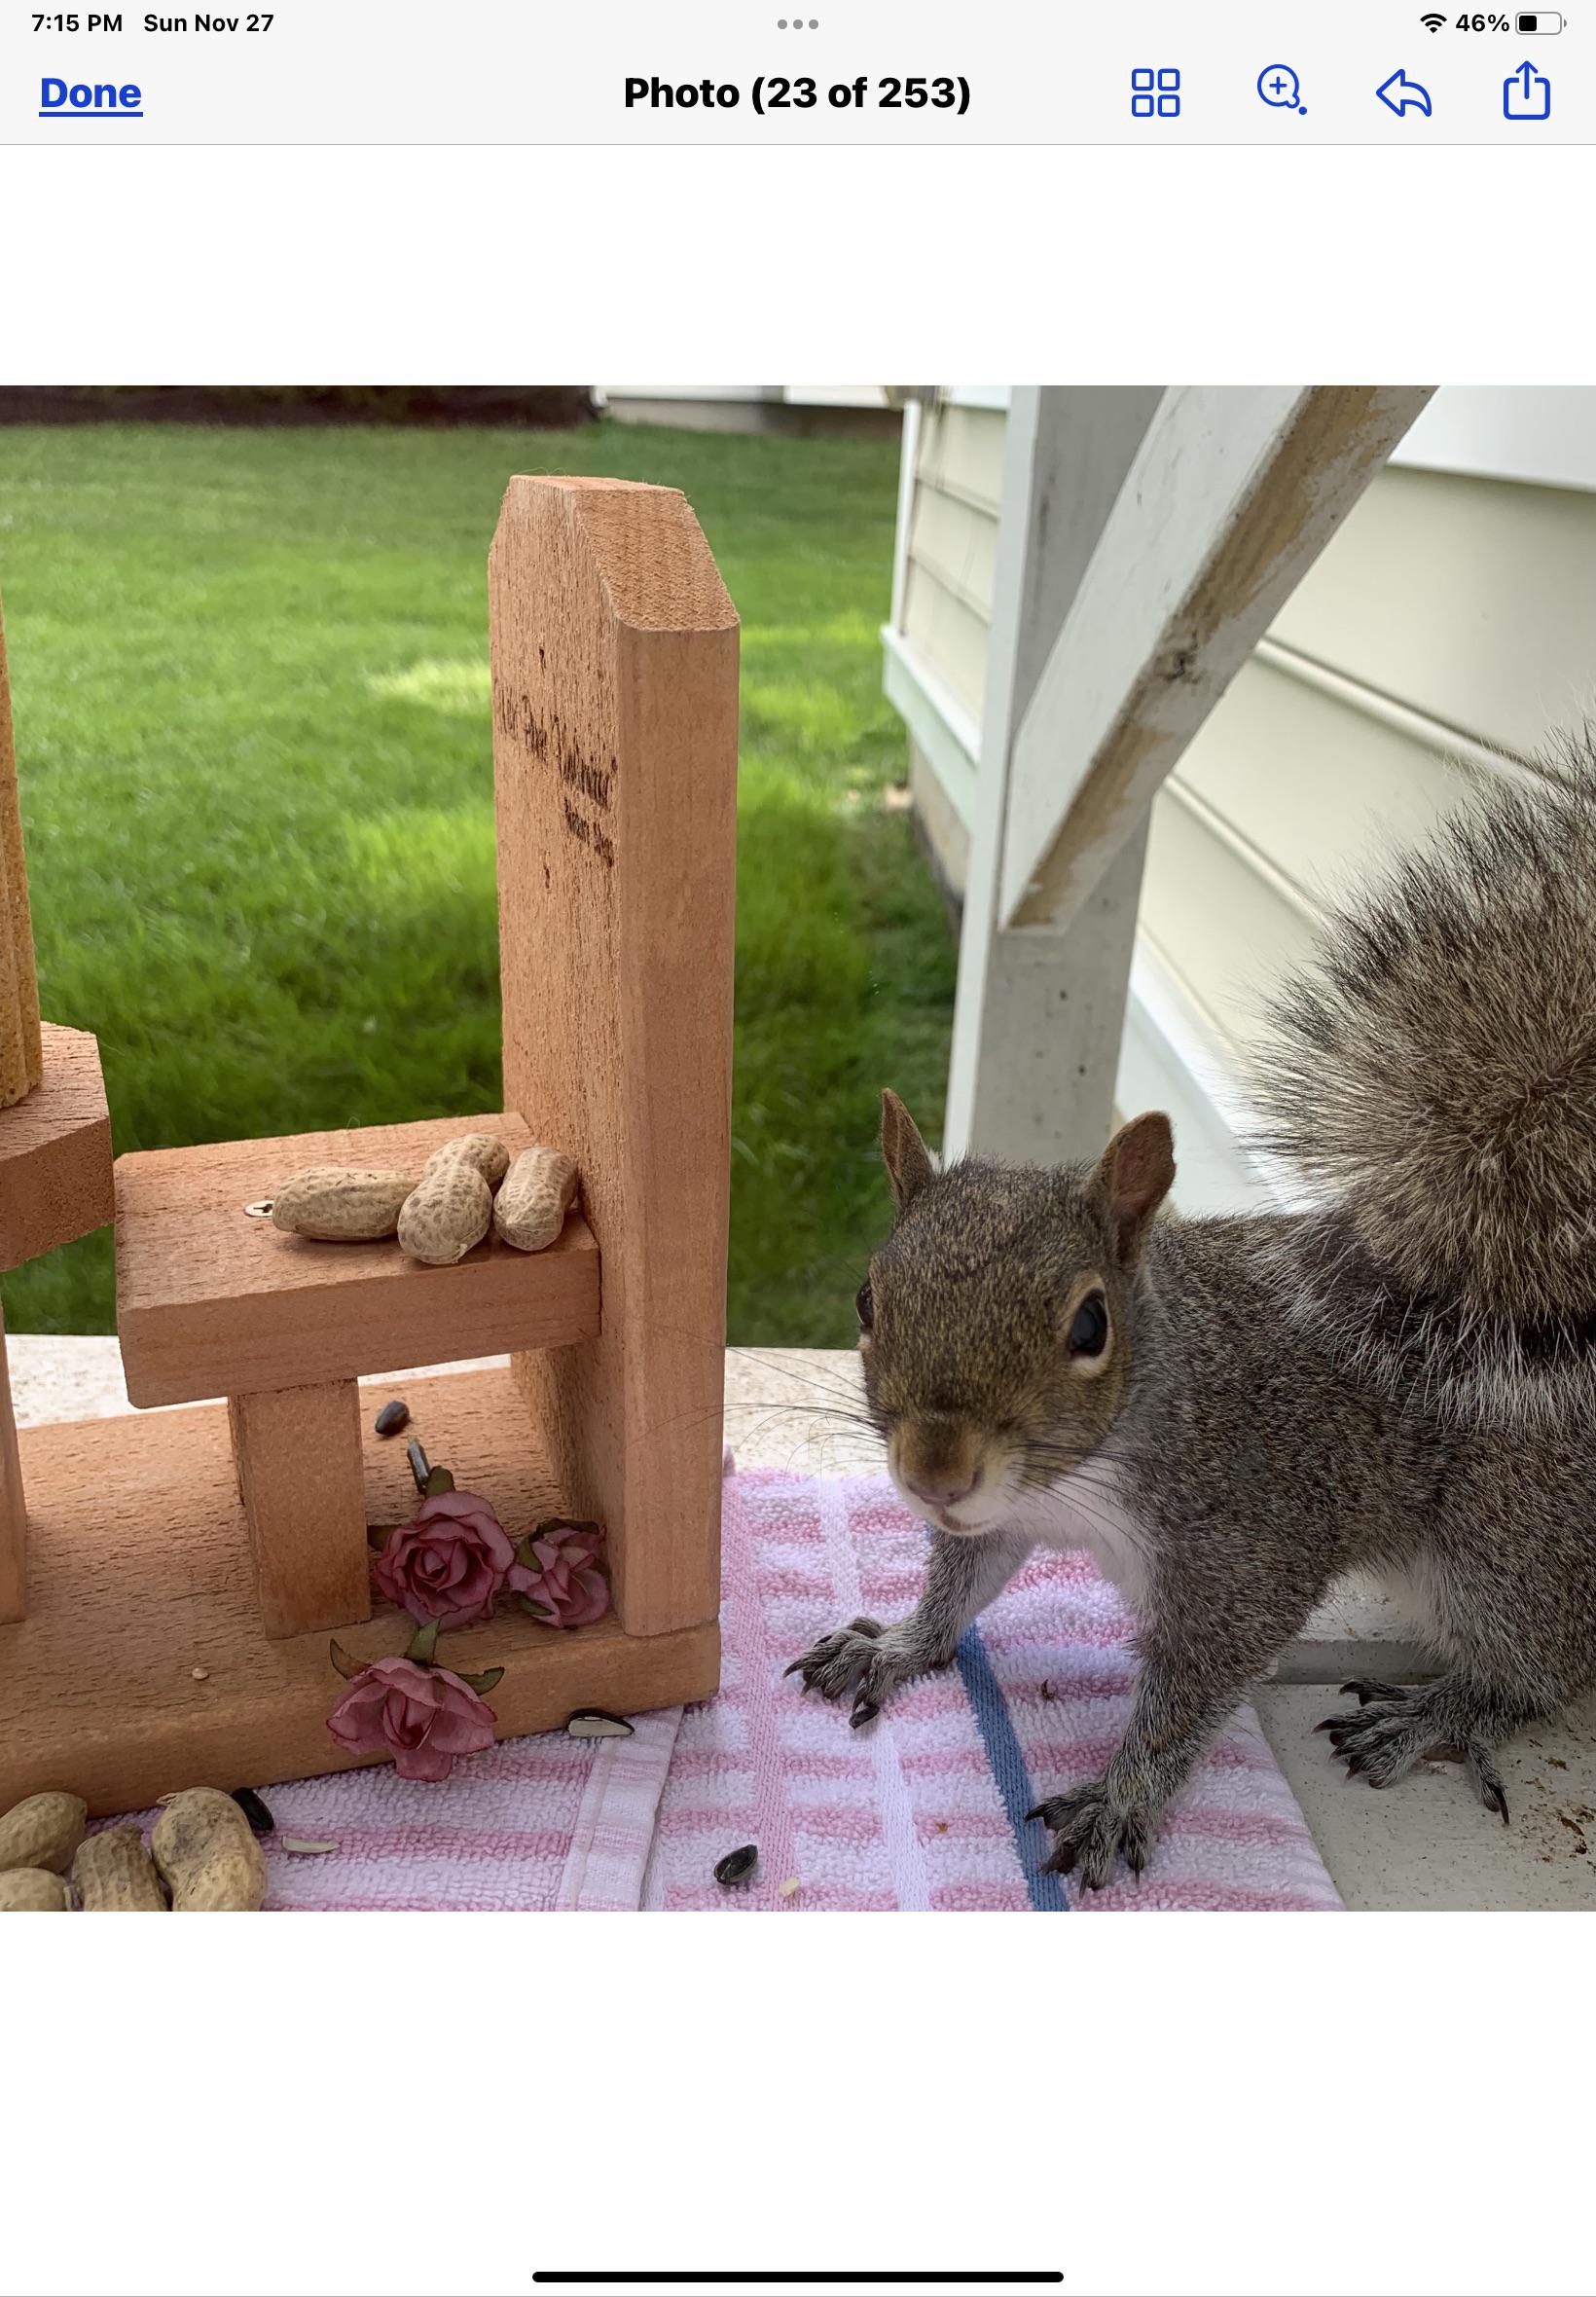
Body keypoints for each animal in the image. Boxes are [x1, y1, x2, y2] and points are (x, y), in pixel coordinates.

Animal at [788, 728, 1596, 1889]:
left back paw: (1436, 1712)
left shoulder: (1246, 1550)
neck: (1086, 1471)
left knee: (1538, 1667)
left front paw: (1119, 1801)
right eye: (865, 1296)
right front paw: (897, 1644)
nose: (935, 1472)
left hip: (1509, 1546)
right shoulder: (1004, 1516)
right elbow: (959, 1586)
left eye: (1089, 1325)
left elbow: (1190, 1698)